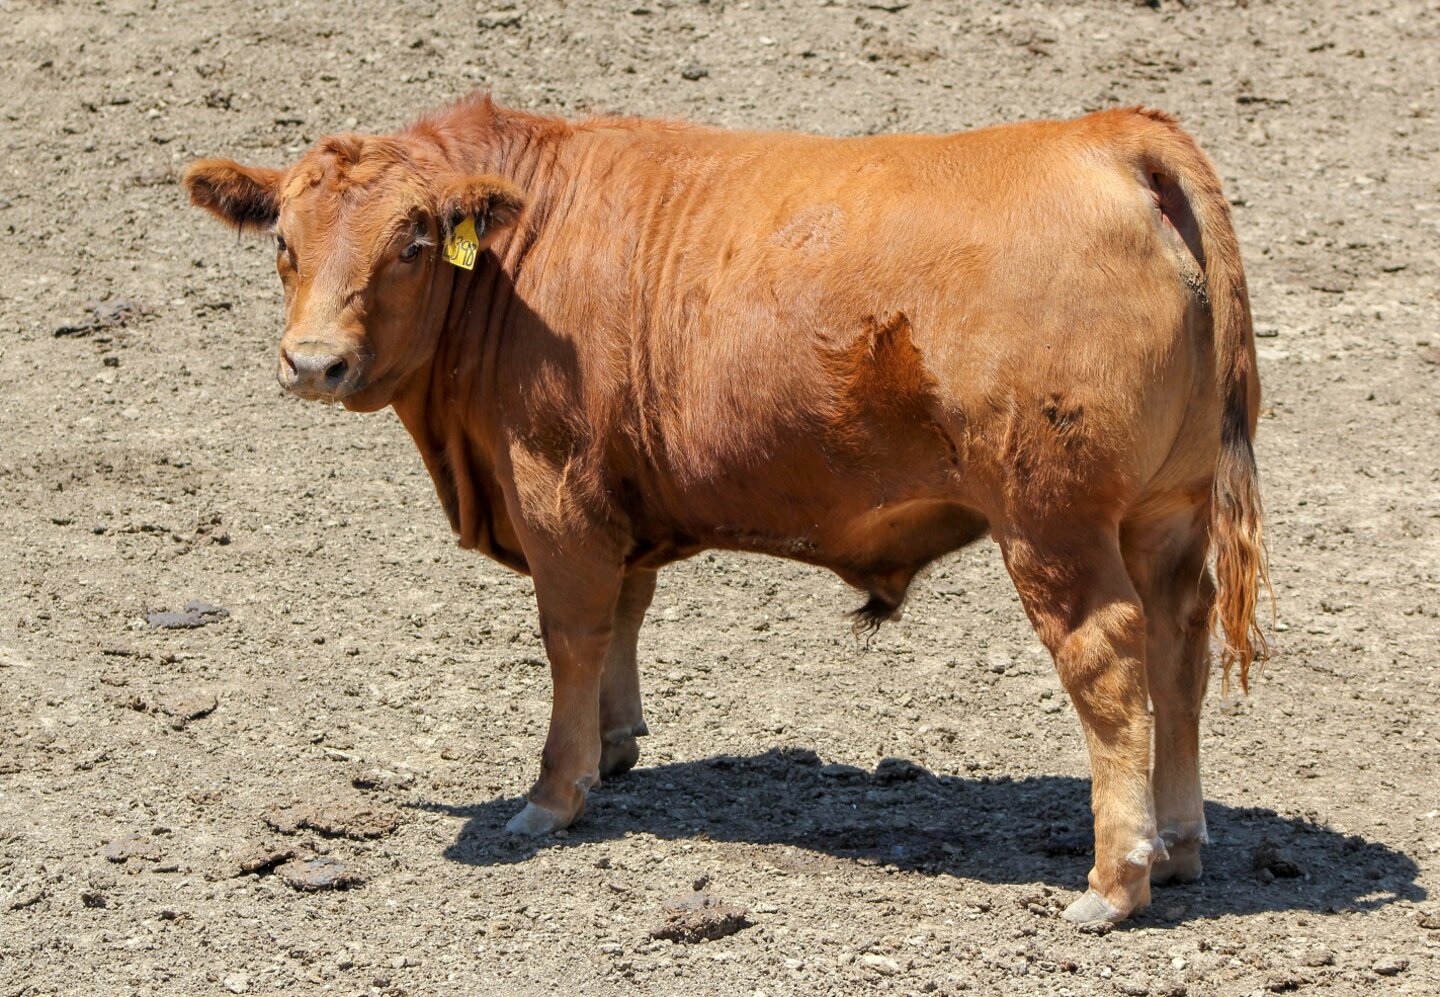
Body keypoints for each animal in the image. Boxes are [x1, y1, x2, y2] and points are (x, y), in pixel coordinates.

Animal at [183, 94, 1269, 925]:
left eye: (412, 243)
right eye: (282, 242)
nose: (314, 363)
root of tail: (1112, 133)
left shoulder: (556, 494)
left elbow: (572, 635)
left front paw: (553, 792)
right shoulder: (617, 502)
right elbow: (624, 615)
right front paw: (616, 745)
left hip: (1054, 522)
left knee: (1111, 660)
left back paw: (1116, 879)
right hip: (1166, 513)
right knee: (1178, 650)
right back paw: (1178, 843)